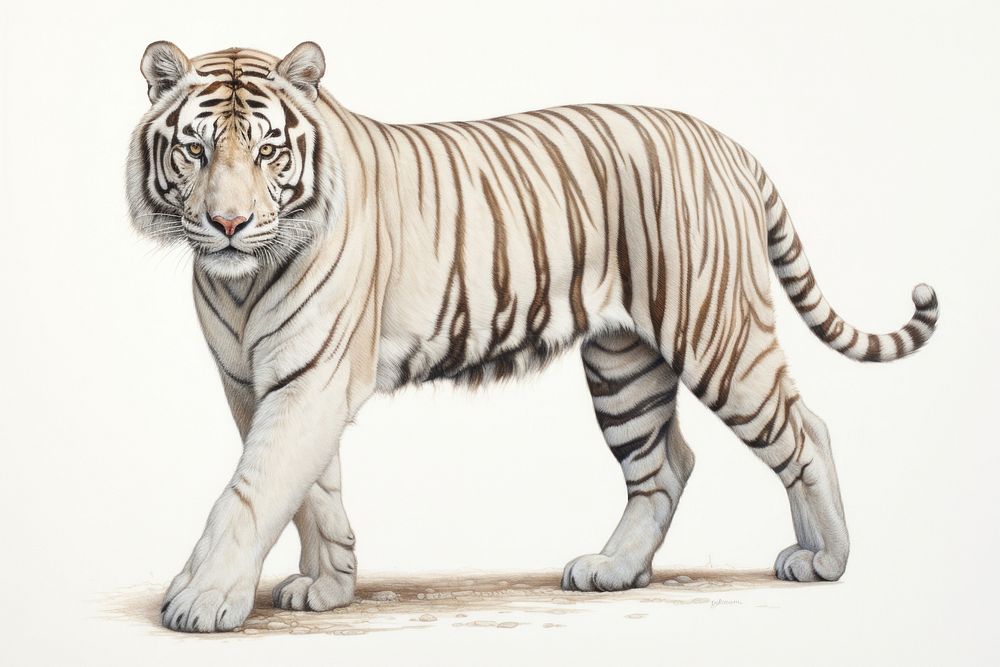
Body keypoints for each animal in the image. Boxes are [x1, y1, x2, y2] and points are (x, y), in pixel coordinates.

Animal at [127, 40, 939, 633]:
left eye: (267, 152)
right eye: (197, 151)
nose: (229, 223)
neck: (240, 278)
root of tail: (729, 145)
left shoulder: (311, 378)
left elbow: (251, 491)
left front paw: (202, 599)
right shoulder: (257, 382)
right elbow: (309, 490)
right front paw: (328, 584)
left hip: (719, 336)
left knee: (806, 429)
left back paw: (826, 558)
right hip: (624, 363)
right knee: (666, 463)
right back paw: (614, 569)